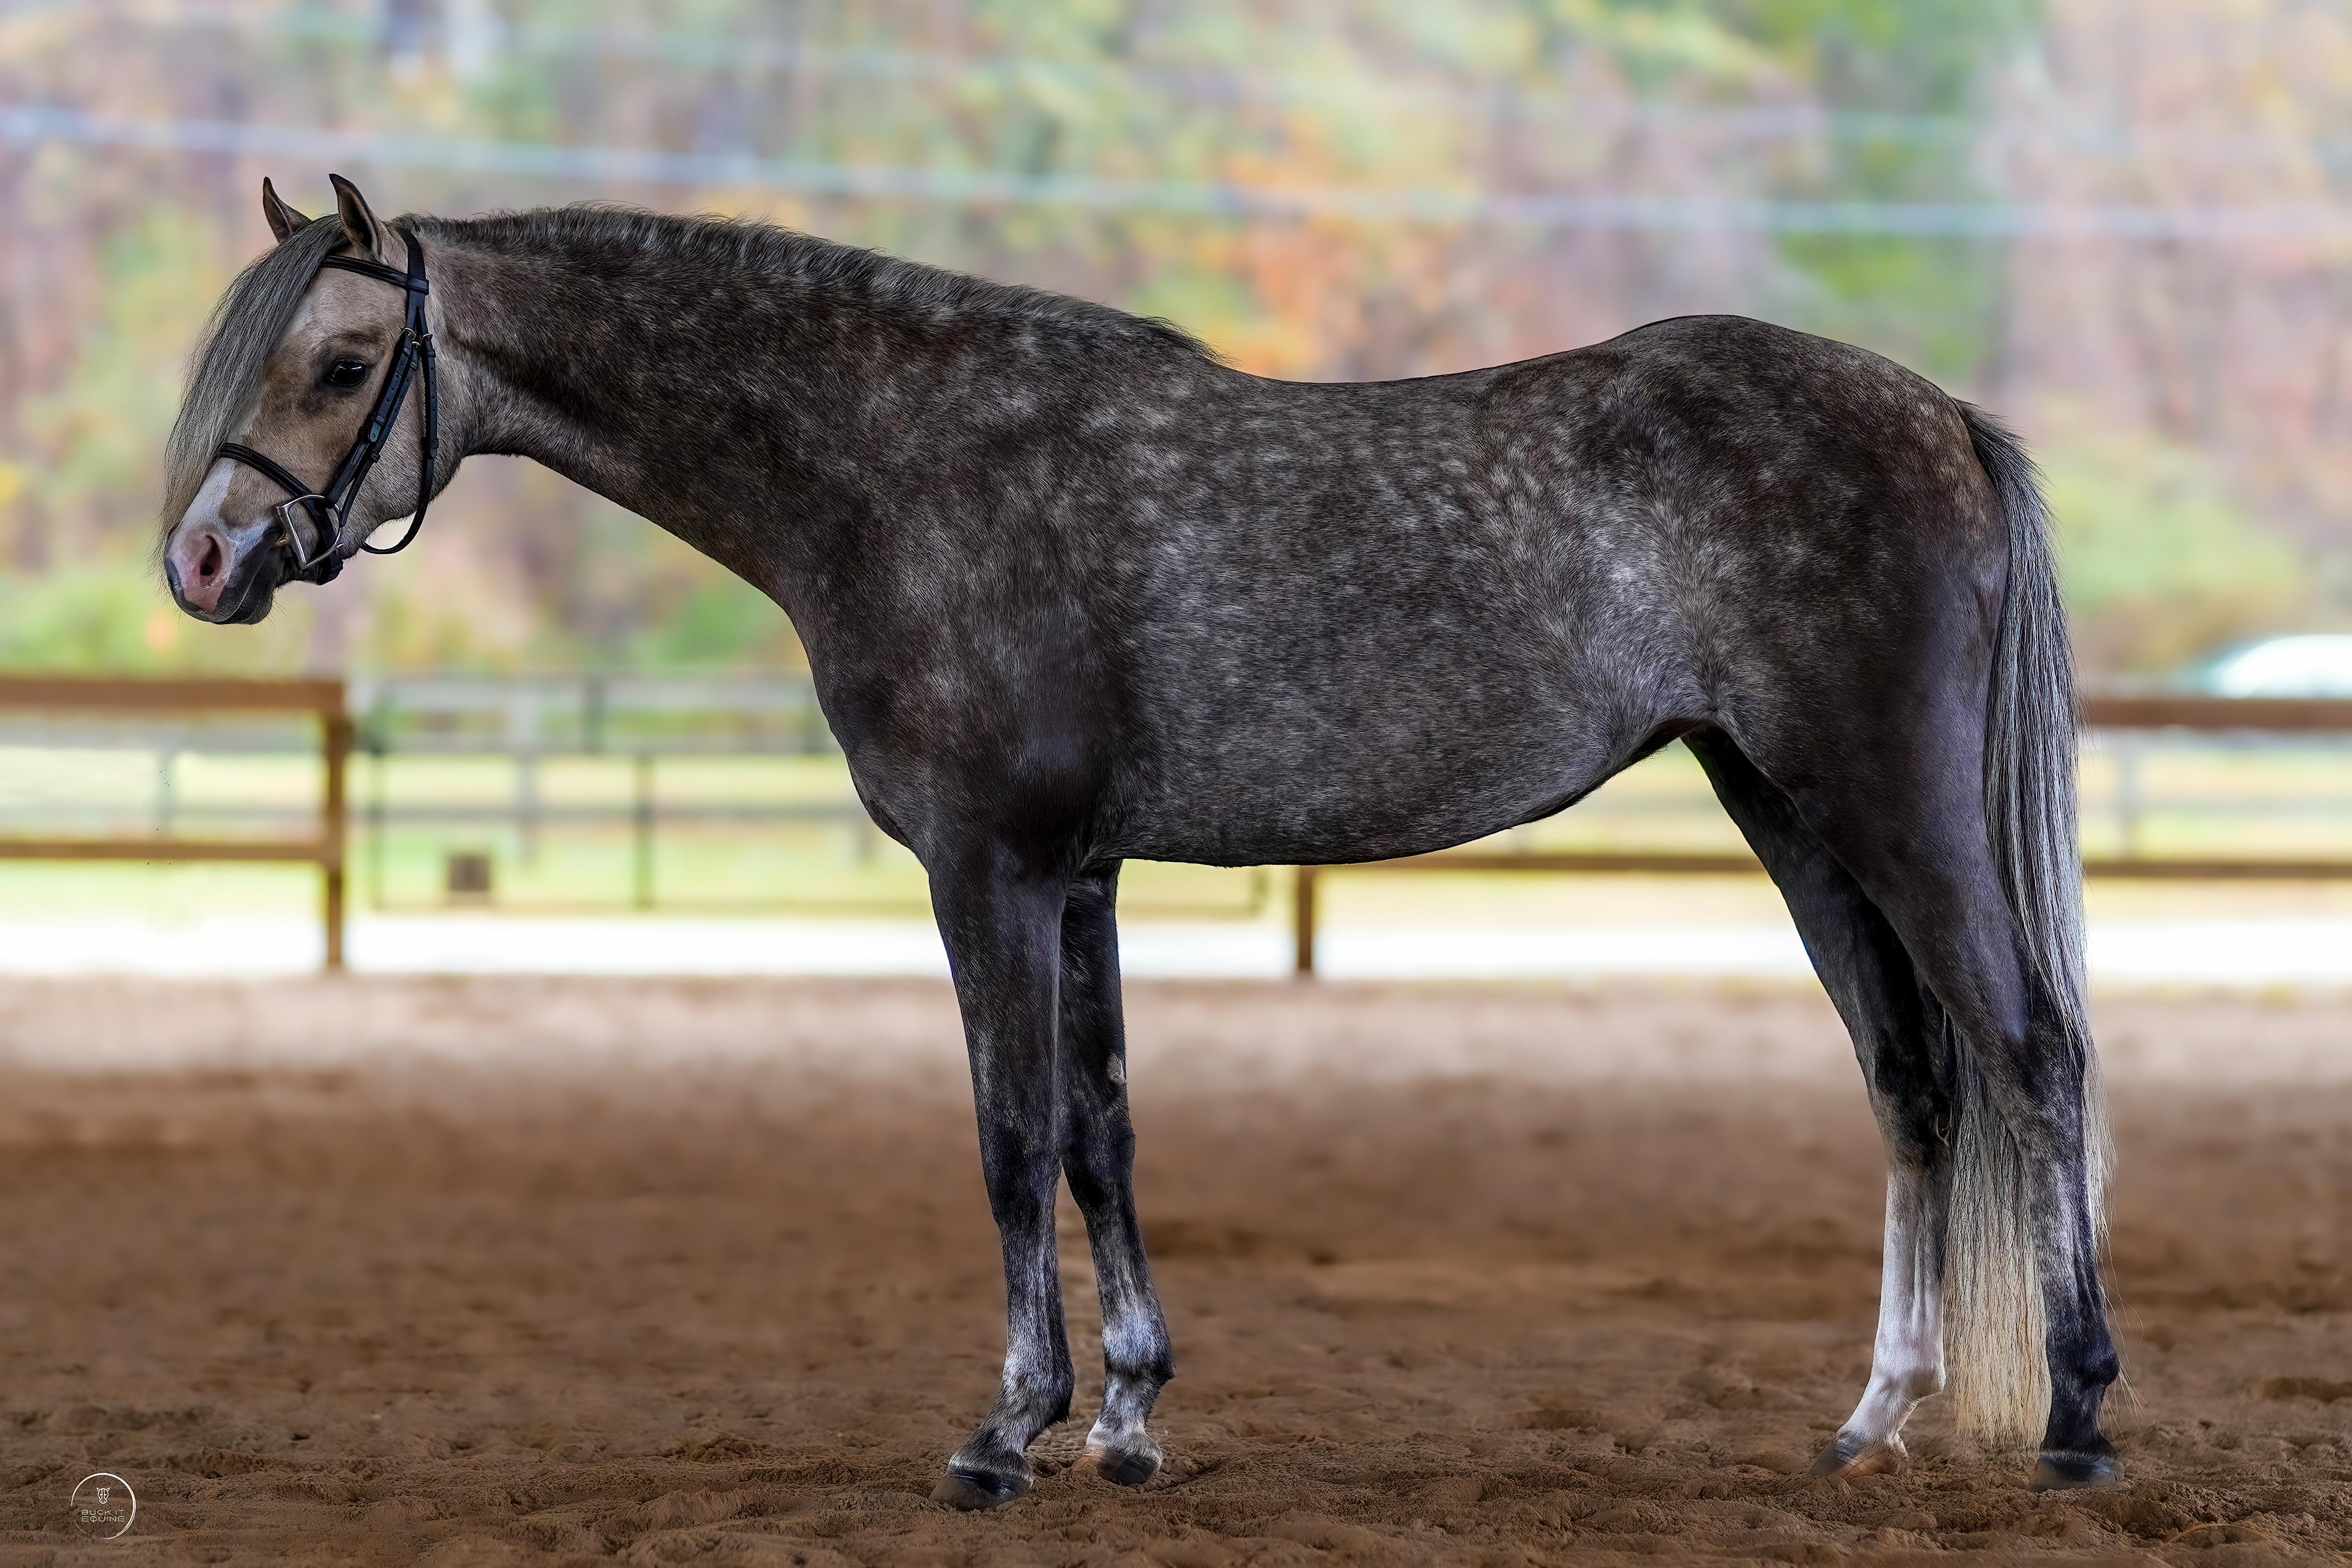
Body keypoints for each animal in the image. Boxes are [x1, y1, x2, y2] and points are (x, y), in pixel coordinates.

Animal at [161, 175, 2119, 1506]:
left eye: (344, 359)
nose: (201, 560)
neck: (901, 469)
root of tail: (1940, 416)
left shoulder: (990, 869)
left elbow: (1010, 1136)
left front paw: (1001, 1430)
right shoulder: (1084, 873)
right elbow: (1104, 1133)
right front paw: (1123, 1414)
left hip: (1887, 804)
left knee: (2030, 1052)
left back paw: (2078, 1418)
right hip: (1785, 810)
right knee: (1909, 1082)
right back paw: (1872, 1418)